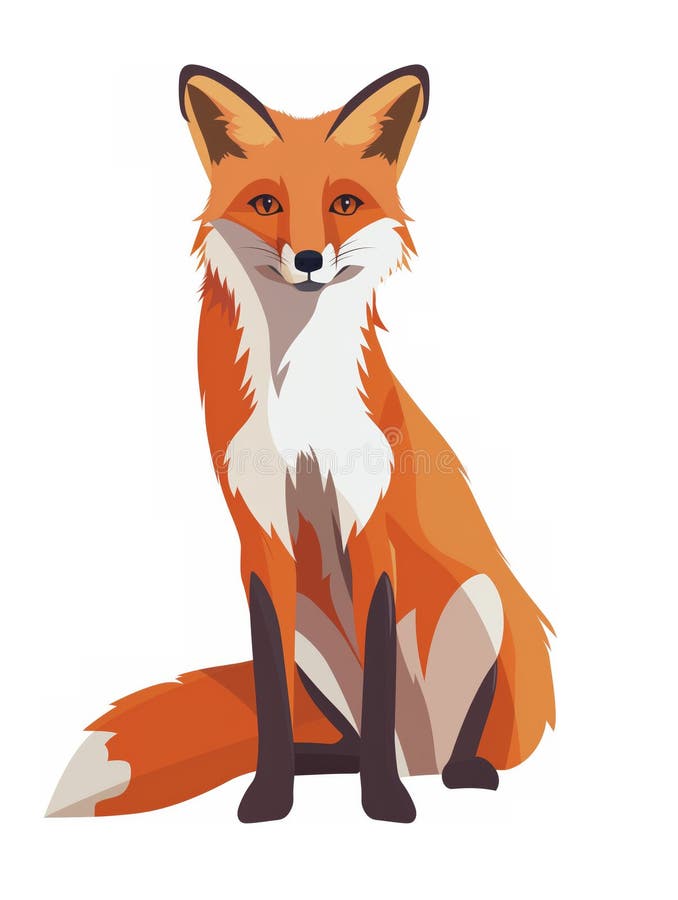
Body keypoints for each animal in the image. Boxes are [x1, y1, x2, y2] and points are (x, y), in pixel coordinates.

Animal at [48, 64, 555, 823]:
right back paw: (329, 763)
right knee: (338, 736)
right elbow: (269, 689)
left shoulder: (368, 523)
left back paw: (456, 771)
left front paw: (385, 803)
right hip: (315, 642)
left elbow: (379, 668)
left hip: (482, 599)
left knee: (439, 748)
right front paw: (268, 795)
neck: (301, 401)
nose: (311, 260)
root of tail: (421, 753)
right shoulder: (261, 536)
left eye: (344, 203)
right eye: (266, 203)